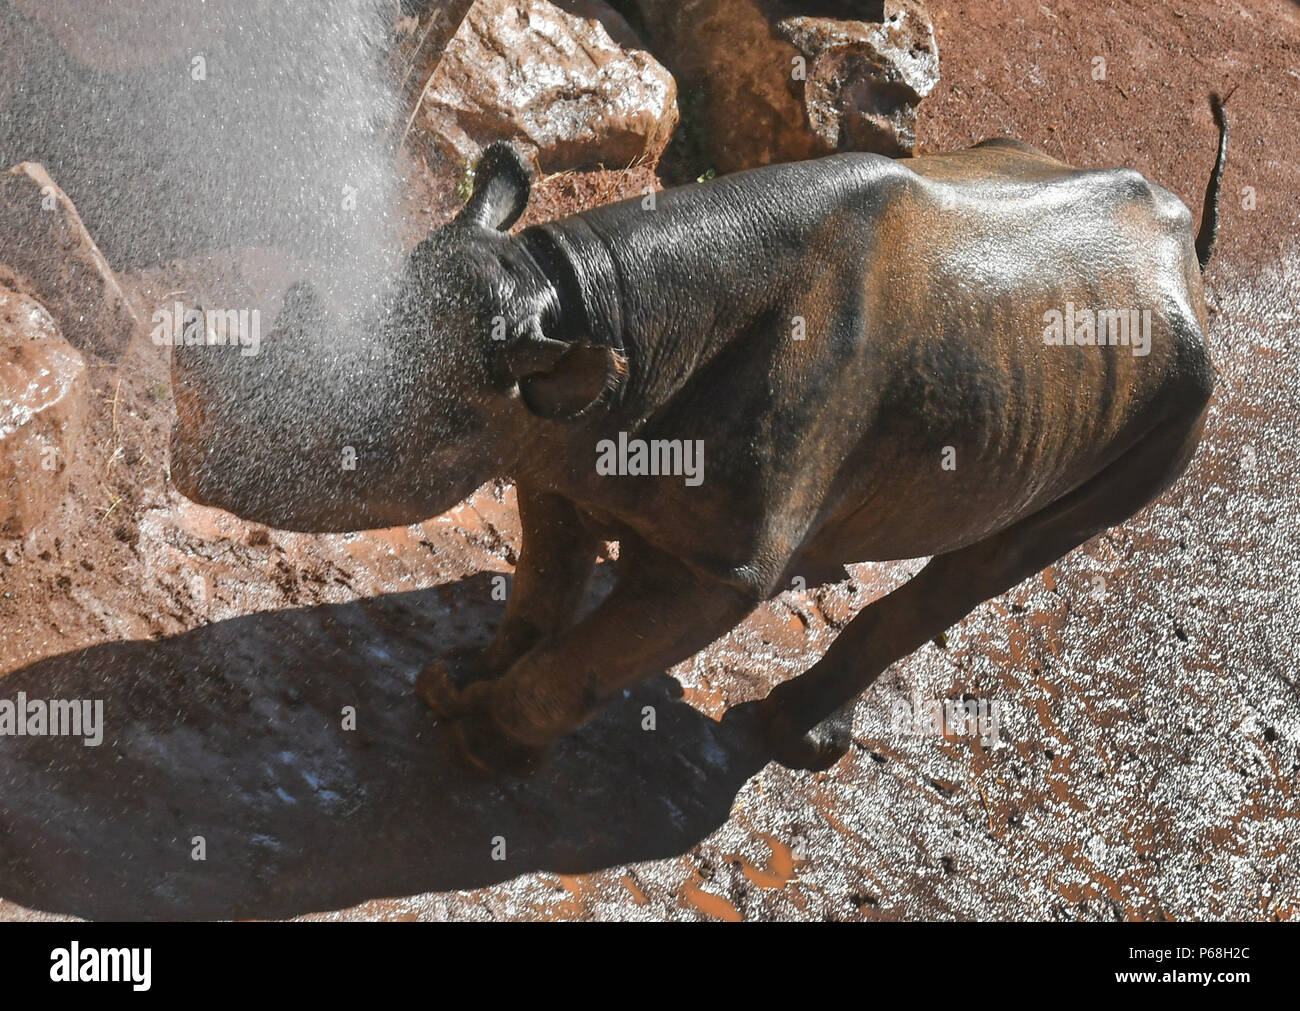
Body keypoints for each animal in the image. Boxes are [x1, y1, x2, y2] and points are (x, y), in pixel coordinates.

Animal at [171, 96, 1228, 776]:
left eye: (371, 438)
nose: (189, 451)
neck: (595, 308)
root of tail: (1185, 263)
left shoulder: (718, 568)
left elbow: (584, 662)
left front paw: (485, 743)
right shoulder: (553, 450)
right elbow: (541, 590)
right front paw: (454, 680)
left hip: (1181, 413)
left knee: (994, 560)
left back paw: (793, 737)